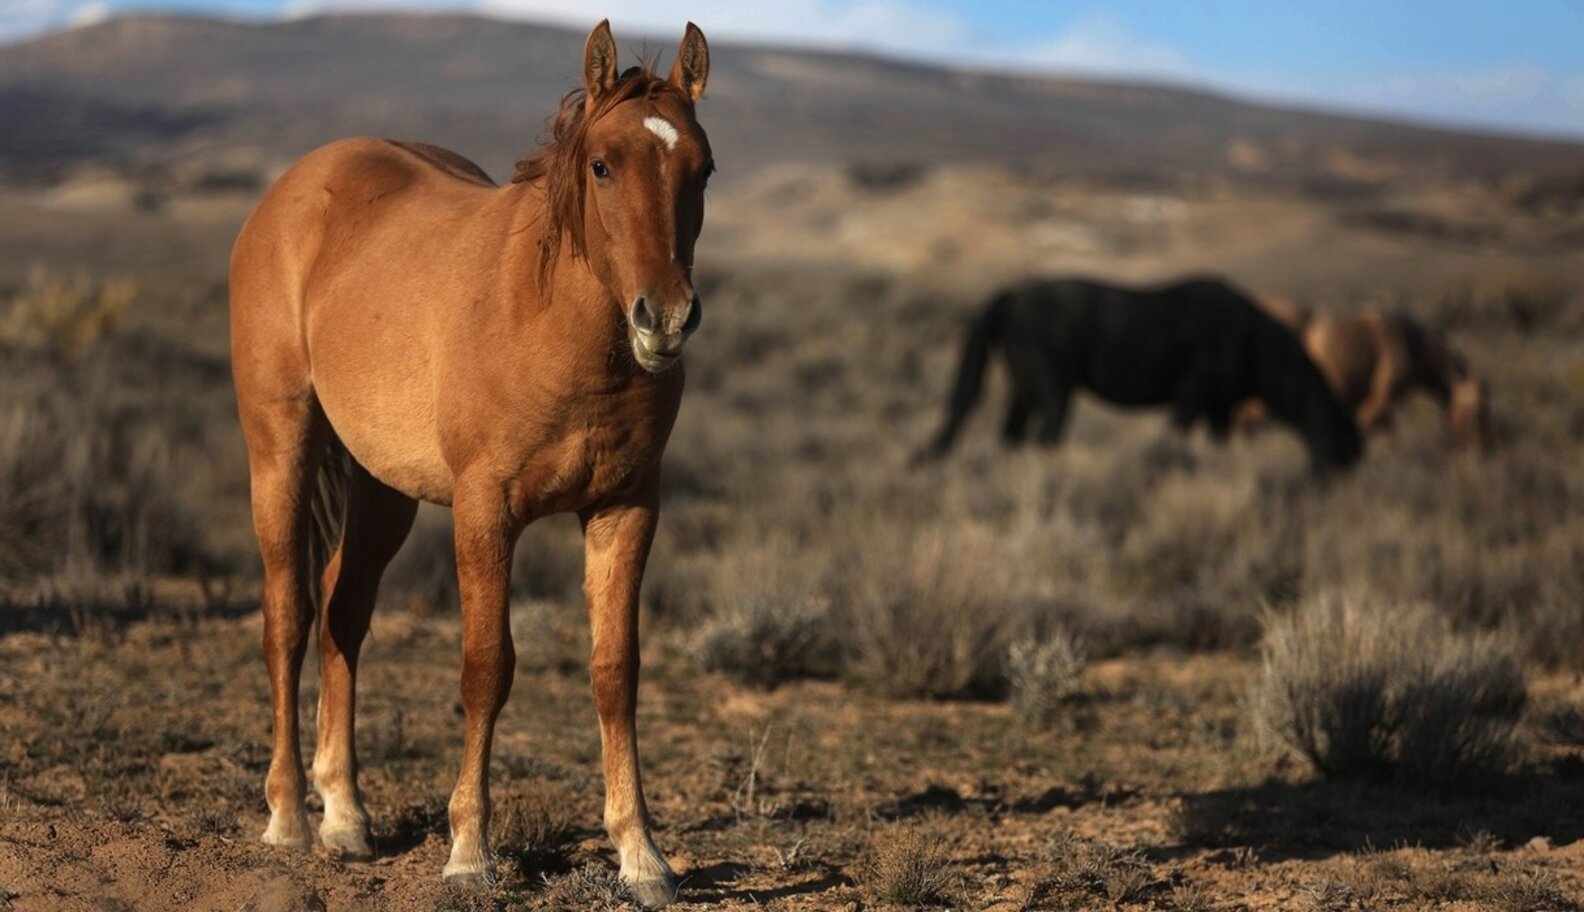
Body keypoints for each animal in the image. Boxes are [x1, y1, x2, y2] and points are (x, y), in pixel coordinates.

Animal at [229, 21, 712, 906]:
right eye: (603, 164)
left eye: (702, 167)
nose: (663, 319)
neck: (550, 318)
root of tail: (293, 189)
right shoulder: (488, 509)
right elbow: (487, 668)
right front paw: (469, 850)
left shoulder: (626, 508)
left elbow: (615, 671)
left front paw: (642, 855)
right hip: (280, 445)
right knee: (288, 613)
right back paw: (287, 816)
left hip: (383, 488)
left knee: (342, 611)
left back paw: (345, 816)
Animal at [914, 277, 1364, 473]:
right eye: (1343, 444)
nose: (1332, 482)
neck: (1254, 343)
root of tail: (1011, 295)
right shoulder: (1193, 394)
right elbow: (1177, 434)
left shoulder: (1219, 406)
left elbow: (1217, 441)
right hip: (1053, 391)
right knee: (1044, 437)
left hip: (1023, 390)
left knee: (1012, 436)